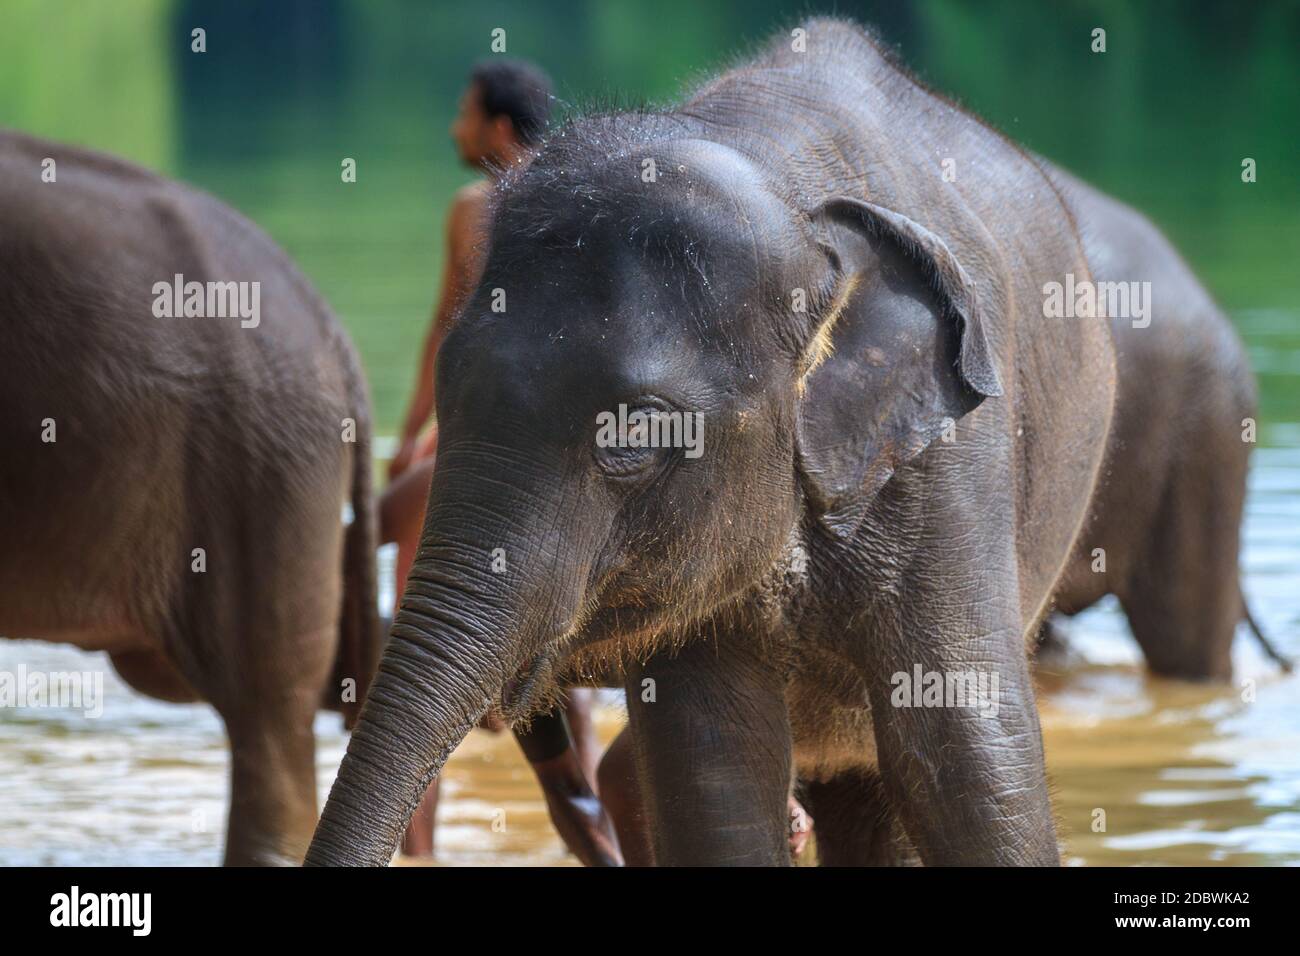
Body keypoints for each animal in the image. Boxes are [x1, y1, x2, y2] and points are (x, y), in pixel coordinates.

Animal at [305, 19, 1260, 867]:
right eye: (450, 393)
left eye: (635, 434)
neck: (785, 191)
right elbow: (713, 782)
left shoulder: (948, 464)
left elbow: (975, 768)